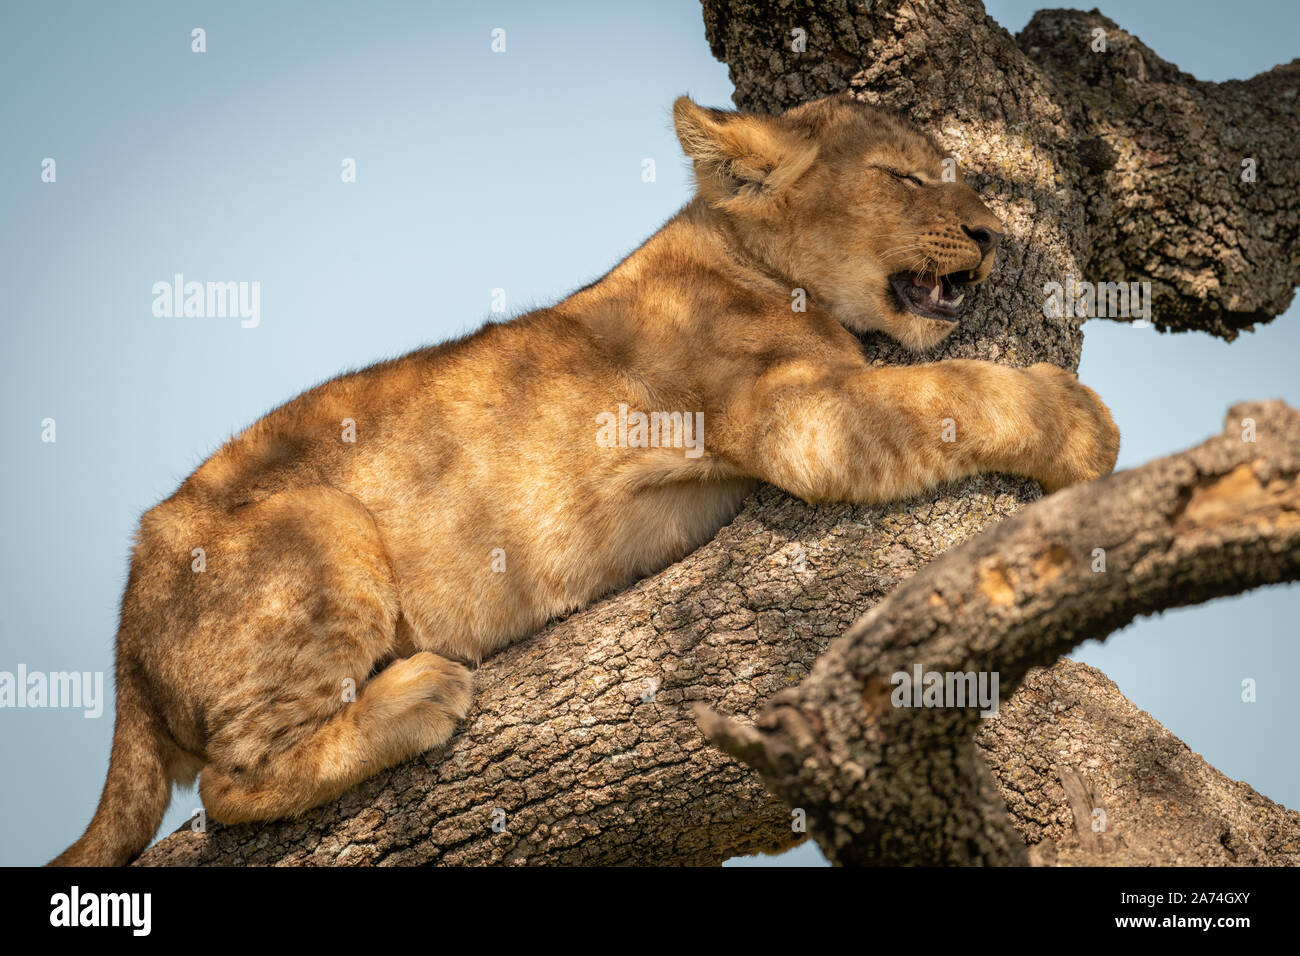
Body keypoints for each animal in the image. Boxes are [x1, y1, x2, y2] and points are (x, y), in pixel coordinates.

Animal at [51, 93, 1118, 865]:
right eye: (901, 178)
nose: (992, 235)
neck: (744, 253)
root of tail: (126, 622)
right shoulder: (799, 416)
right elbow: (954, 386)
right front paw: (1079, 425)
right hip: (316, 521)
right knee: (230, 783)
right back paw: (414, 695)